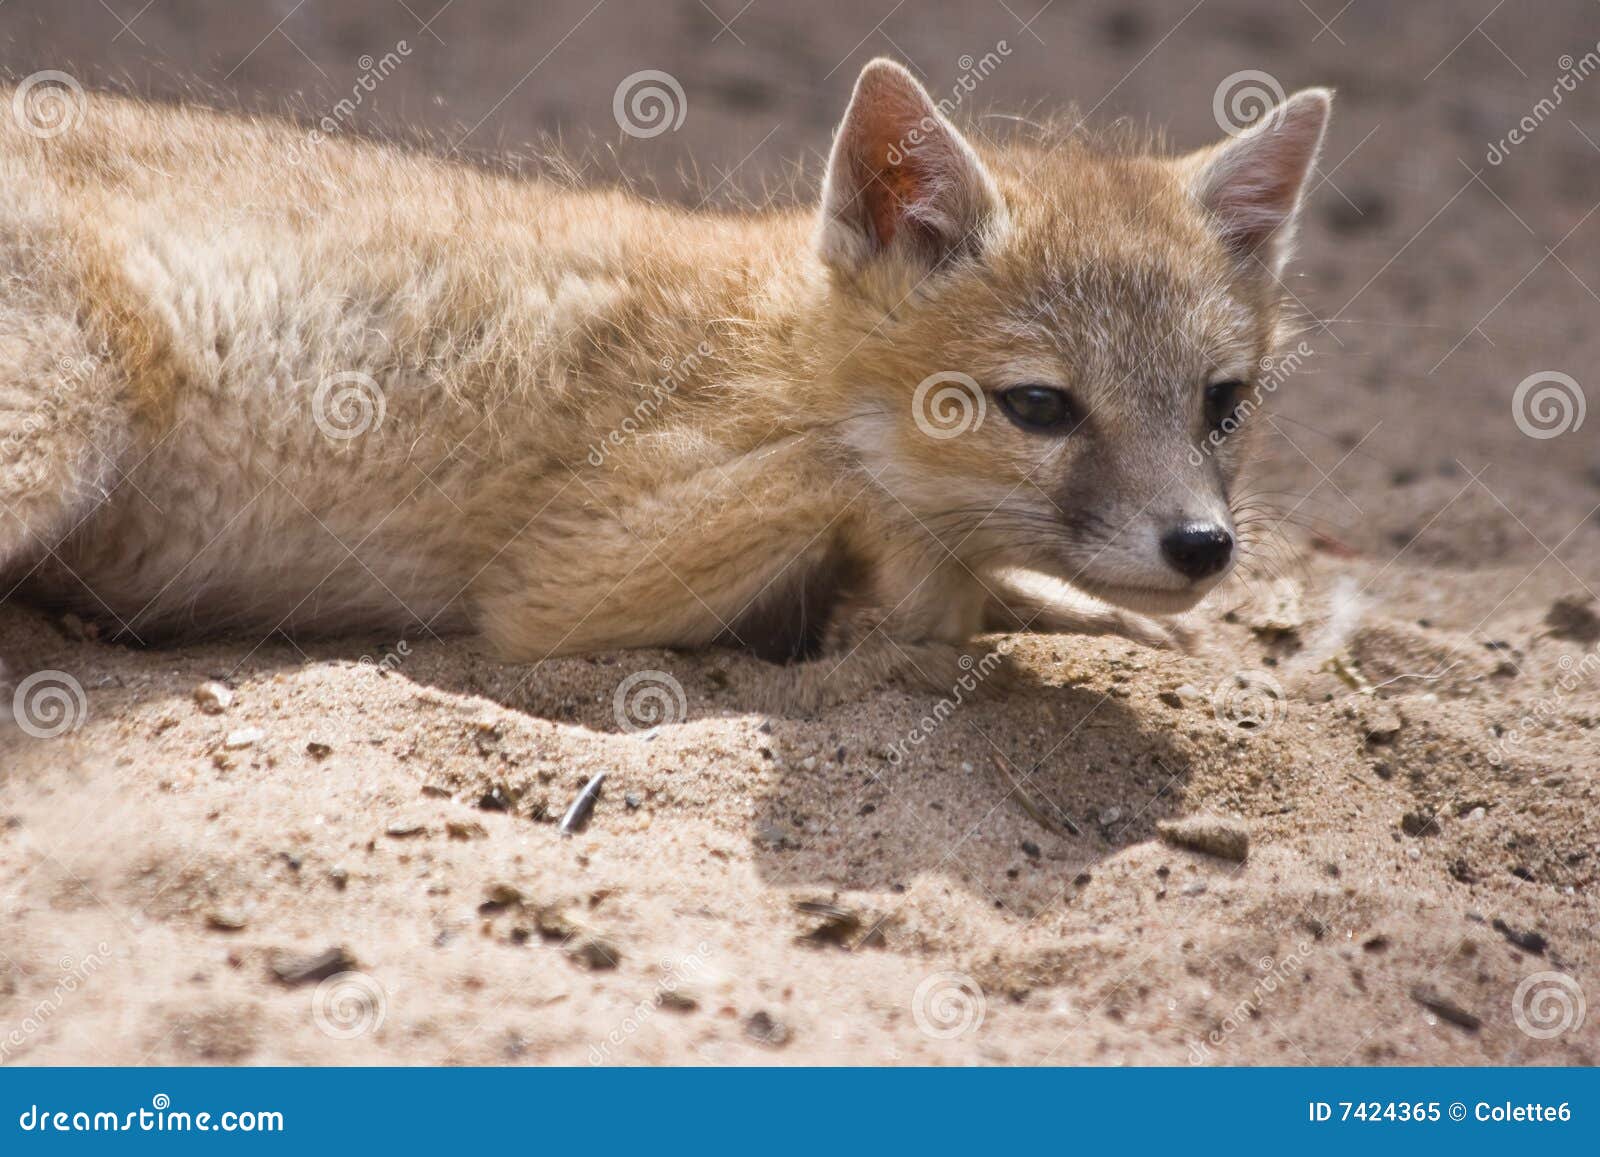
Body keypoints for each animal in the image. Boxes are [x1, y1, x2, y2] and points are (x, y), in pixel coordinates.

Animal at [0, 60, 1330, 714]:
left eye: (1222, 404)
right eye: (1040, 407)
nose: (1202, 545)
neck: (773, 342)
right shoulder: (552, 584)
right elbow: (881, 508)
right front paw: (922, 592)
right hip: (62, 436)